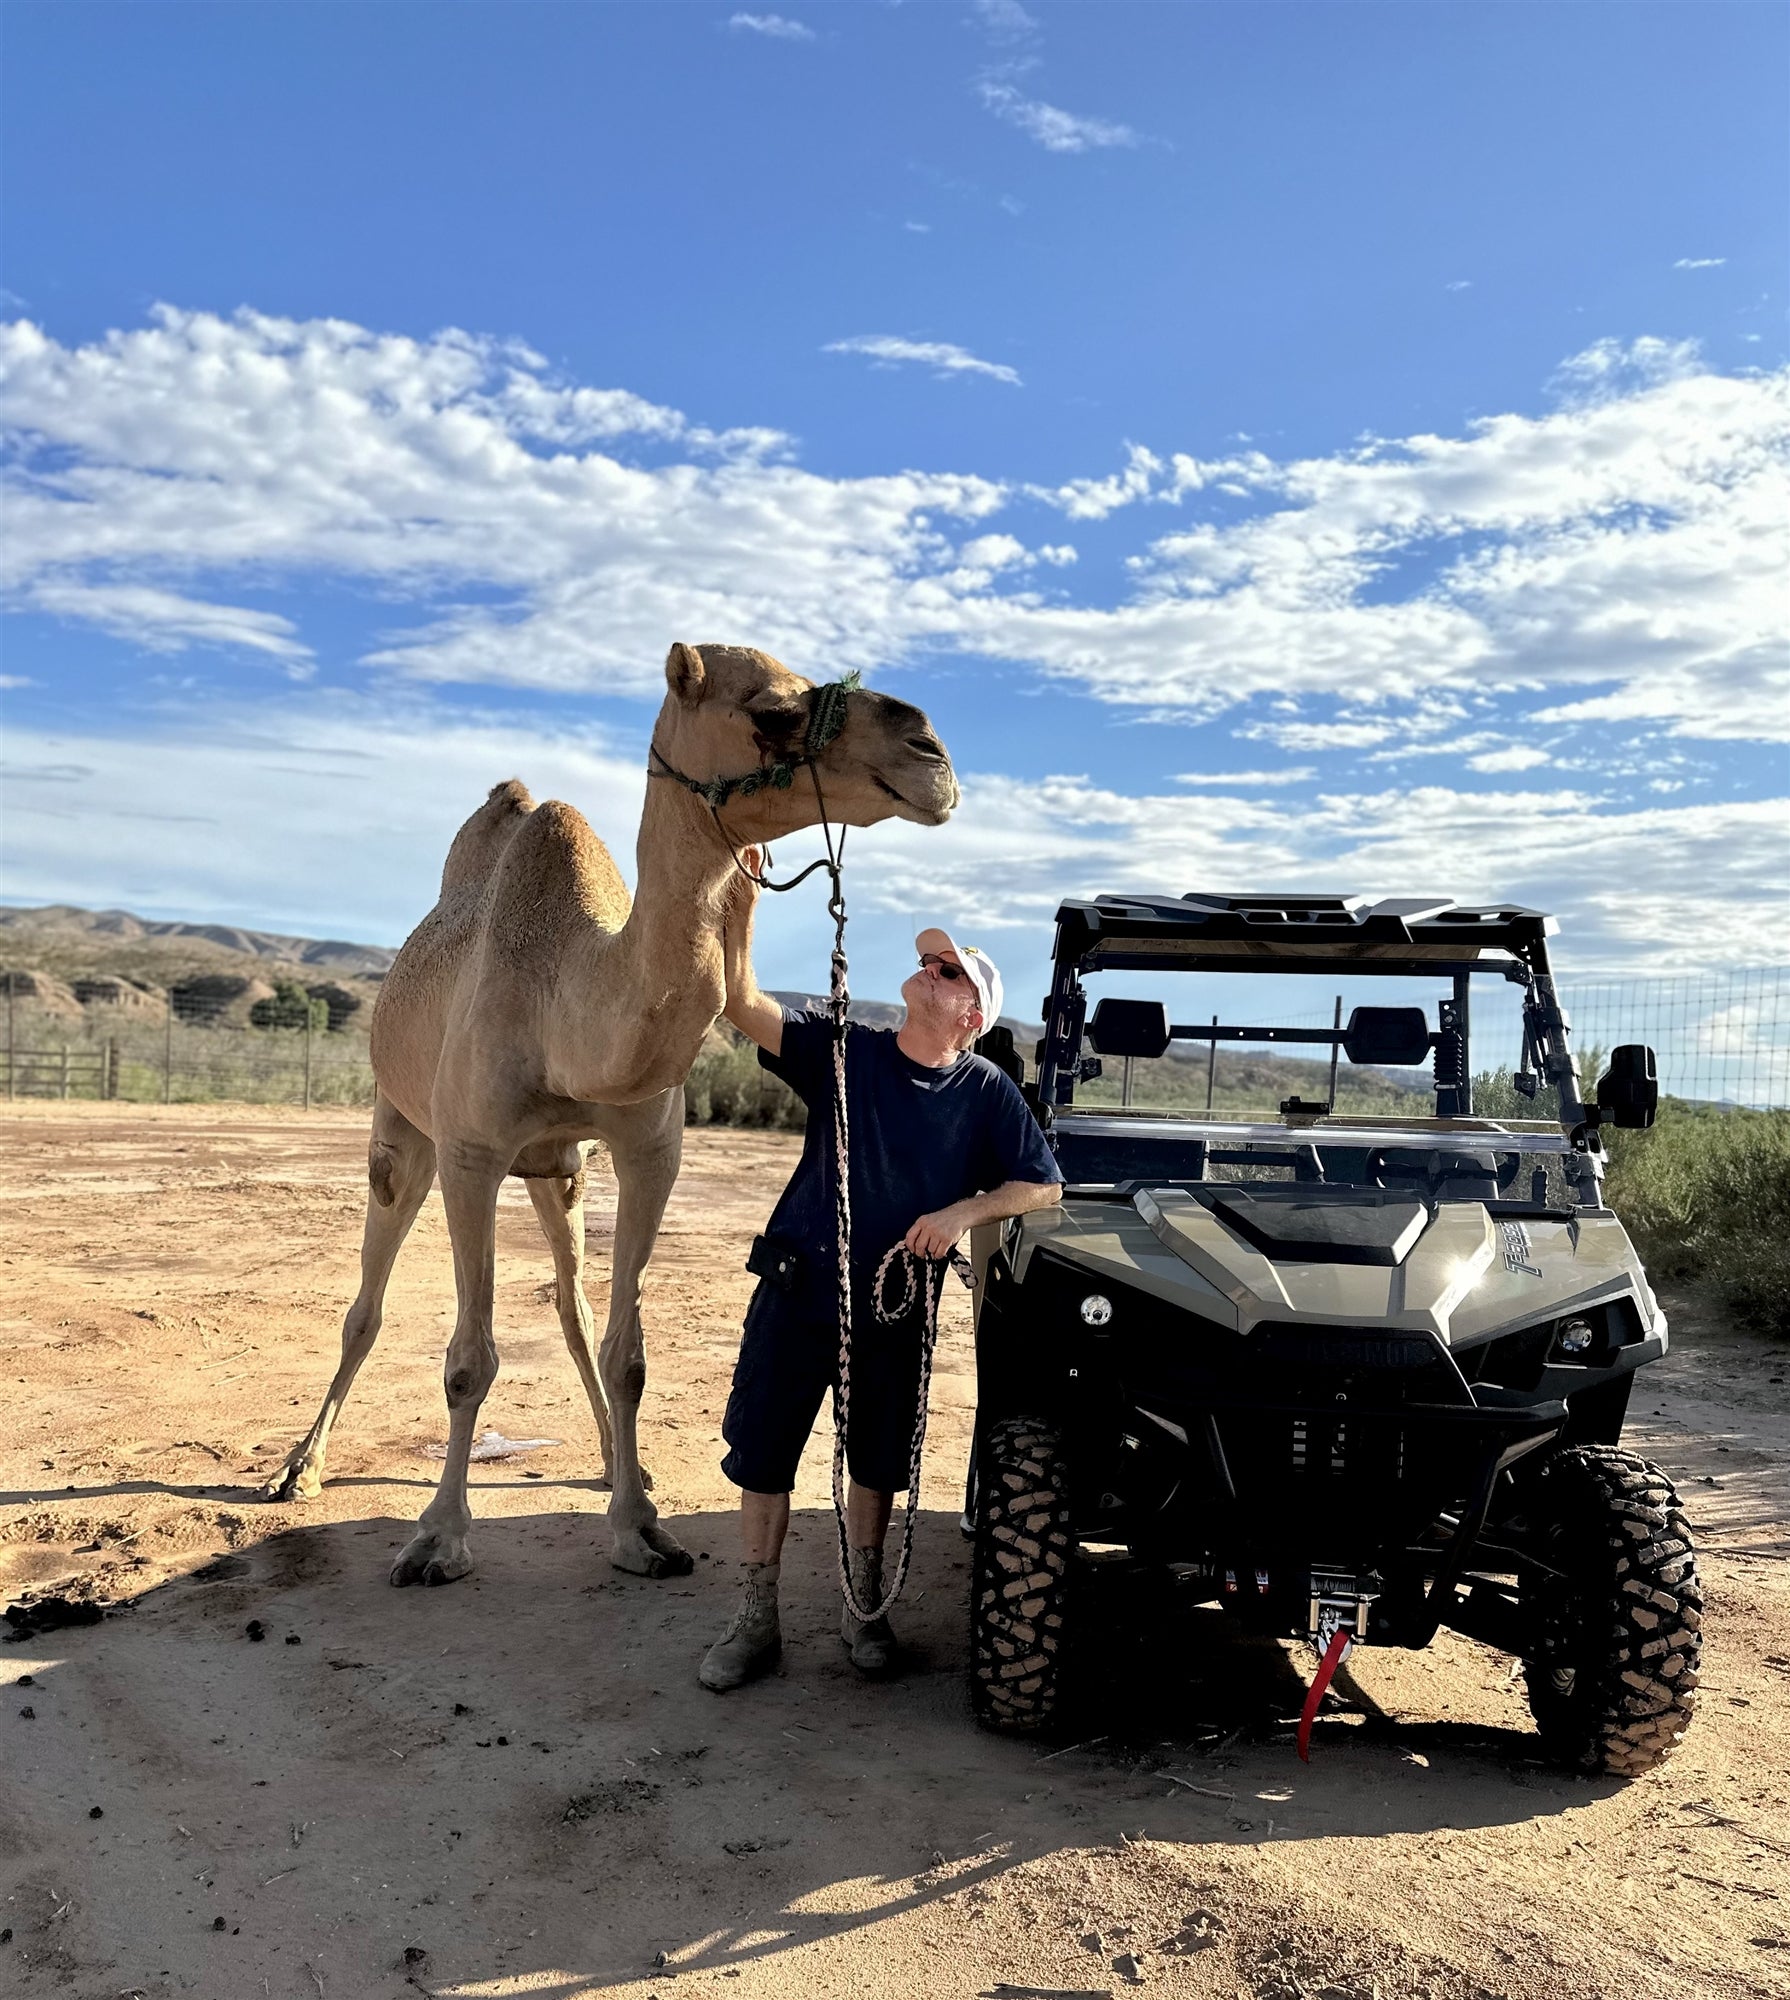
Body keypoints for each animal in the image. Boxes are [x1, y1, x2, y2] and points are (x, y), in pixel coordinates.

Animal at [260, 642, 958, 1586]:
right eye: (771, 708)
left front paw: (642, 1530)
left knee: (573, 1305)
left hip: (559, 1173)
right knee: (366, 1304)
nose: (932, 755)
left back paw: (610, 1460)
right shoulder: (471, 1152)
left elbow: (627, 1353)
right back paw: (299, 1468)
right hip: (401, 1130)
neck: (566, 1005)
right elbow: (467, 1360)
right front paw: (438, 1539)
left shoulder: (646, 1151)